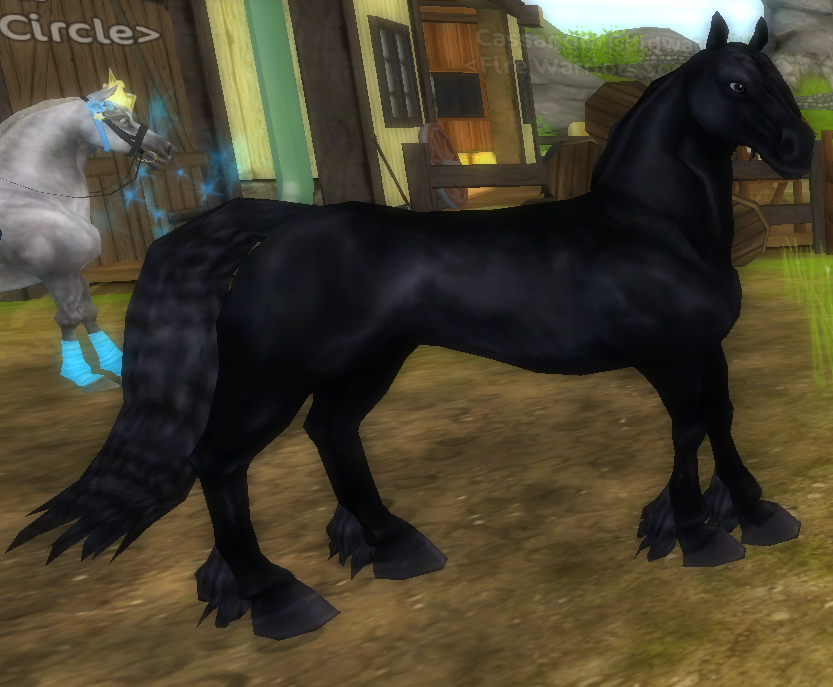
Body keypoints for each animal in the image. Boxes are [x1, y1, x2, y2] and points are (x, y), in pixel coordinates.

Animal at [0, 84, 175, 392]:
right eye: (121, 119)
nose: (166, 149)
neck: (35, 195)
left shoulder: (74, 272)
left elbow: (89, 312)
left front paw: (115, 363)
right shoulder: (57, 275)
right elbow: (69, 319)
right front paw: (83, 377)